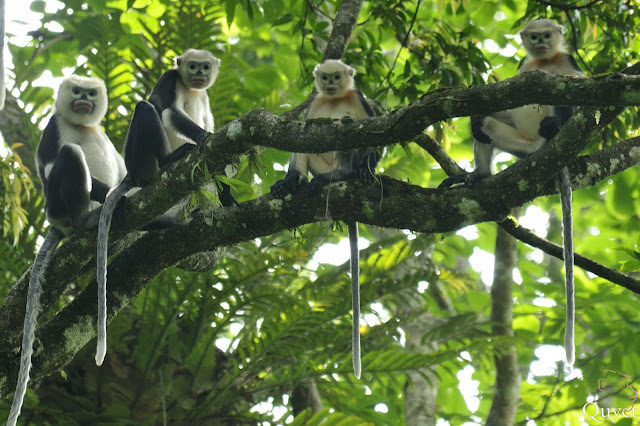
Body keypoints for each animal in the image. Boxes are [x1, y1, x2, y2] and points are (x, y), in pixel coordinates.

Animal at [7, 76, 126, 426]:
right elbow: (49, 166)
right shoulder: (54, 125)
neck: (82, 124)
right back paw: (84, 219)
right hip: (56, 204)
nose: (84, 99)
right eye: (77, 91)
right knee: (70, 155)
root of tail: (55, 222)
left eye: (91, 93)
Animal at [95, 49, 236, 367]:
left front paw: (228, 197)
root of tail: (131, 175)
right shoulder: (170, 79)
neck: (191, 88)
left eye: (205, 67)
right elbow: (170, 113)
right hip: (140, 159)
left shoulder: (204, 97)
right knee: (147, 108)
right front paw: (201, 137)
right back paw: (171, 158)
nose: (199, 74)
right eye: (192, 66)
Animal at [270, 59, 382, 379]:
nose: (330, 83)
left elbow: (378, 138)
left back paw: (344, 174)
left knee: (346, 127)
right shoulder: (315, 102)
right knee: (307, 141)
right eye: (325, 78)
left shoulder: (359, 98)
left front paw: (368, 170)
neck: (334, 99)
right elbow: (301, 133)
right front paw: (289, 180)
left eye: (337, 77)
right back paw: (292, 182)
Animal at [439, 19, 583, 367]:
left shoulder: (569, 63)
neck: (543, 62)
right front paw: (476, 119)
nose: (542, 42)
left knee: (560, 105)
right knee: (487, 126)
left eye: (548, 36)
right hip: (520, 145)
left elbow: (582, 92)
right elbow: (498, 107)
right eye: (535, 37)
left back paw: (553, 128)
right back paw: (479, 174)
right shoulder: (524, 68)